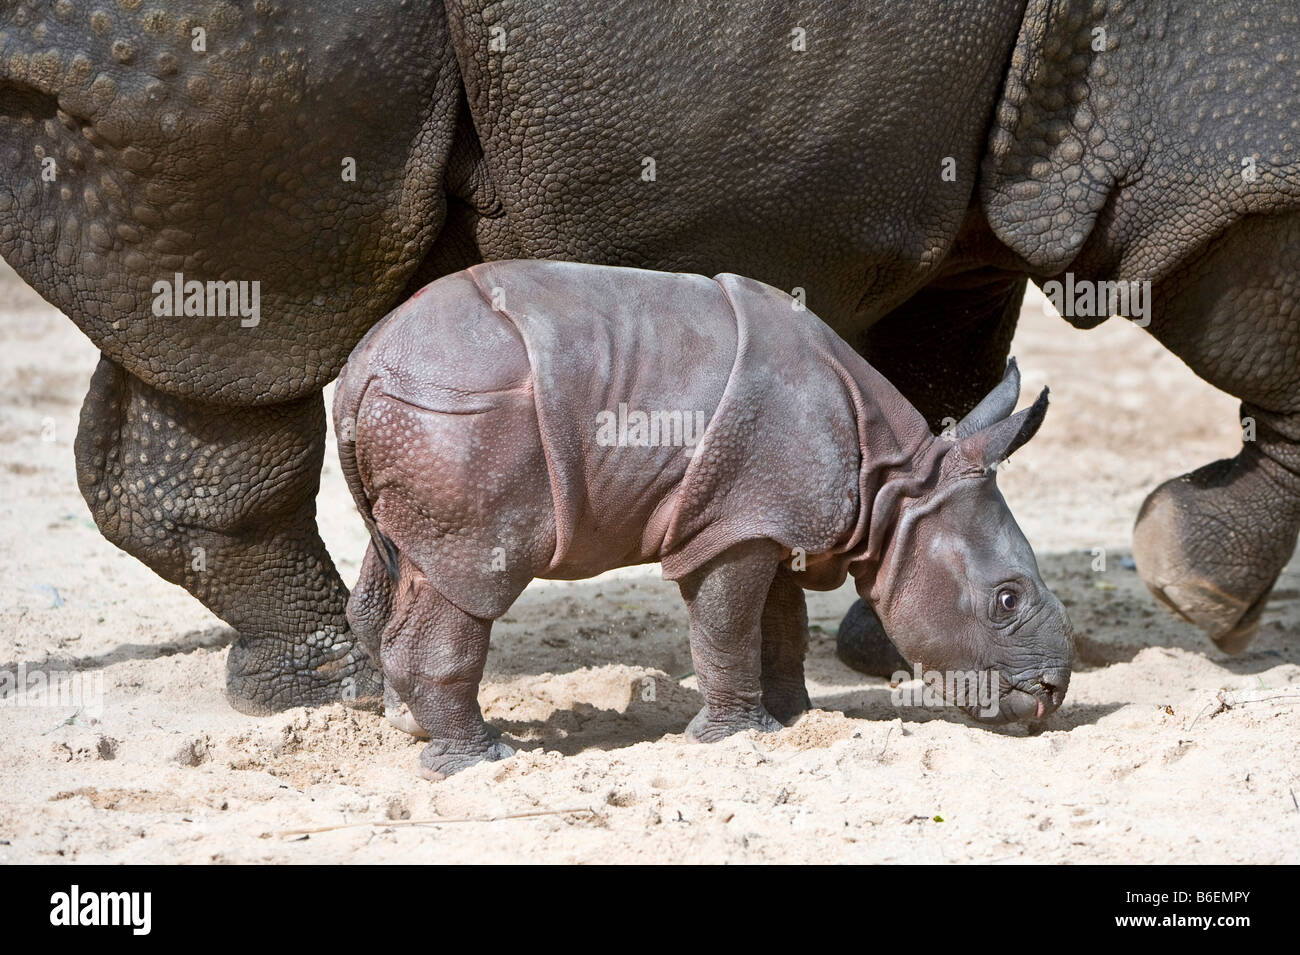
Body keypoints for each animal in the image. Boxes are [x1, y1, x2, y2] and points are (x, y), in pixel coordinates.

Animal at [333, 261, 1071, 778]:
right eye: (1007, 600)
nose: (1051, 694)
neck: (899, 487)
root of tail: (361, 368)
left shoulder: (764, 515)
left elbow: (780, 623)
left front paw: (795, 719)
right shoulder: (730, 525)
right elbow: (728, 625)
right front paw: (742, 736)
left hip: (419, 422)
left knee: (401, 564)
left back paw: (409, 728)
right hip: (459, 418)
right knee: (475, 581)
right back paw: (481, 761)